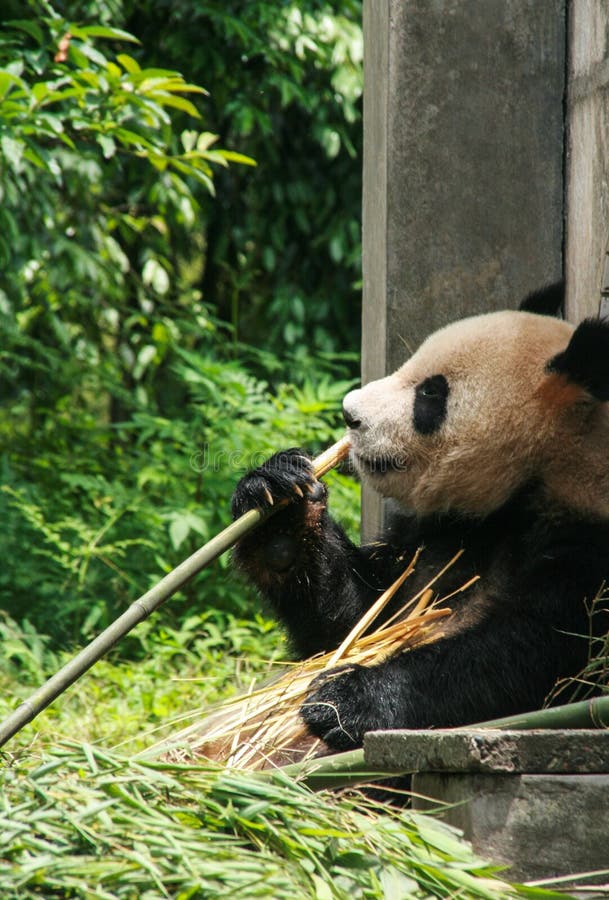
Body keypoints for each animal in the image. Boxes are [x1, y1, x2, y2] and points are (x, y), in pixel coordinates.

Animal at [231, 285, 609, 753]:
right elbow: (356, 621)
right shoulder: (437, 536)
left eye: (431, 393)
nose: (349, 414)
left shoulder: (588, 552)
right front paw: (279, 507)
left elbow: (529, 655)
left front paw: (345, 699)